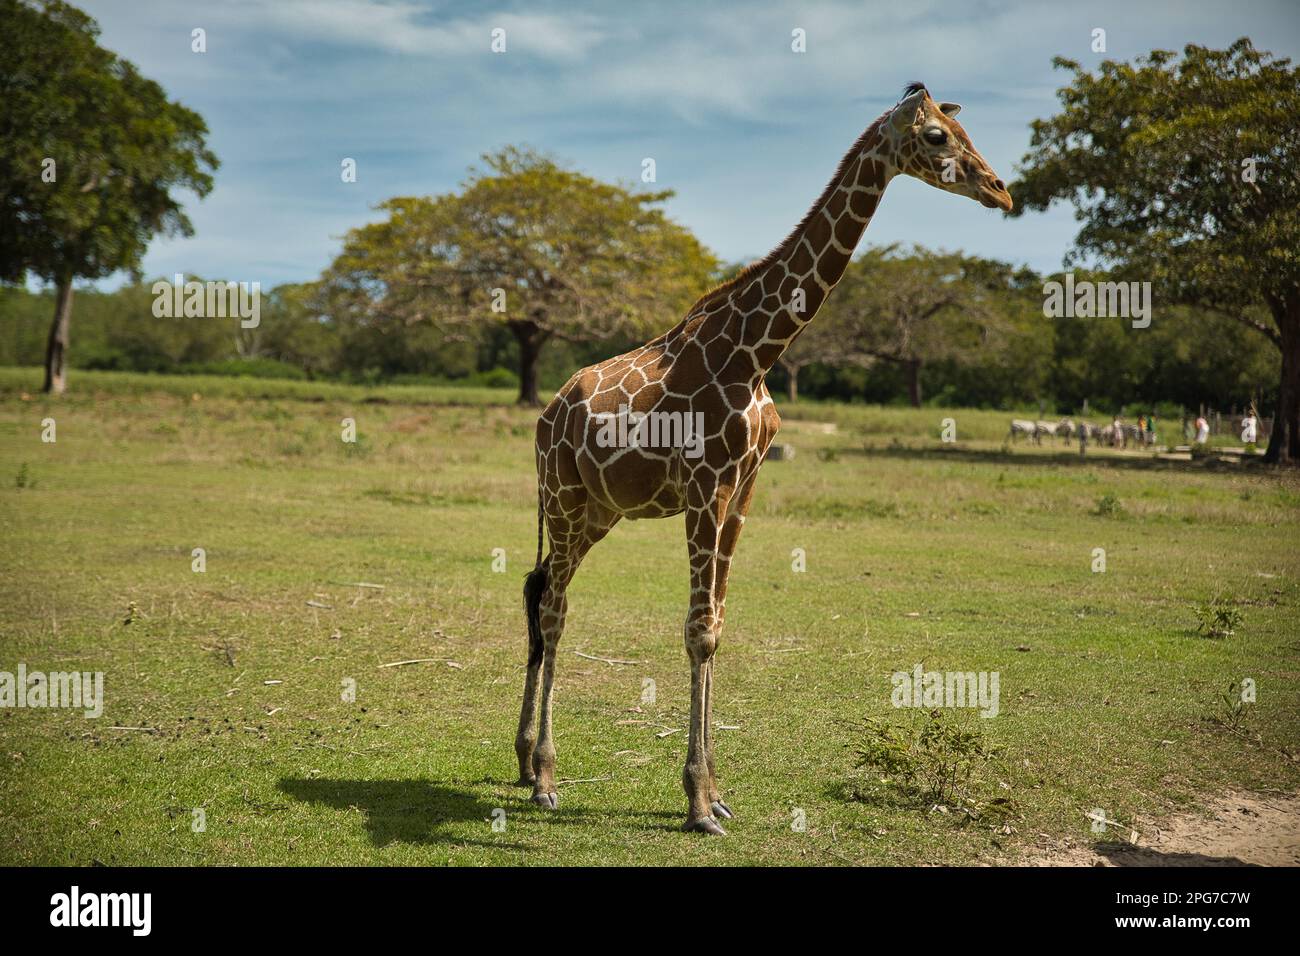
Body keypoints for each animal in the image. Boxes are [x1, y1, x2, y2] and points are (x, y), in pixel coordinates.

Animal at [515, 83, 1013, 834]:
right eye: (935, 136)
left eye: (964, 130)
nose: (1001, 190)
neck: (758, 353)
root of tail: (546, 416)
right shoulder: (702, 484)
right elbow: (697, 632)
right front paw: (696, 802)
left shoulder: (742, 488)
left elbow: (717, 627)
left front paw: (715, 792)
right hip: (566, 500)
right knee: (554, 608)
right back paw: (545, 777)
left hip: (601, 510)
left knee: (538, 587)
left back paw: (521, 761)